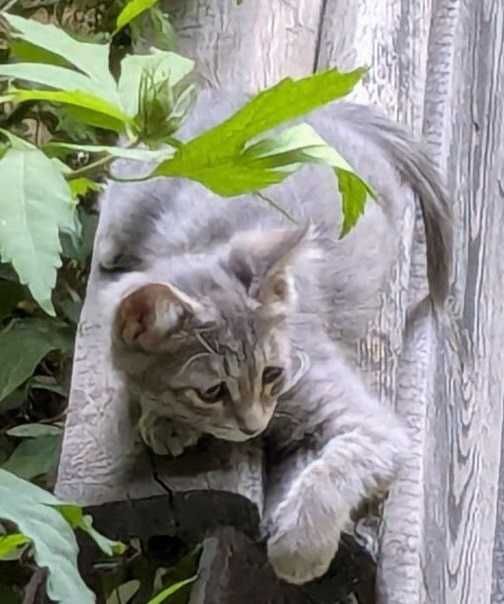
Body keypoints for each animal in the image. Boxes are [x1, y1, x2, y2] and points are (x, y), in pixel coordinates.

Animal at [96, 88, 451, 585]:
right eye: (211, 391)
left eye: (272, 374)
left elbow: (333, 473)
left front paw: (301, 549)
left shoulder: (373, 425)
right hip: (156, 175)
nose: (253, 426)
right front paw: (164, 418)